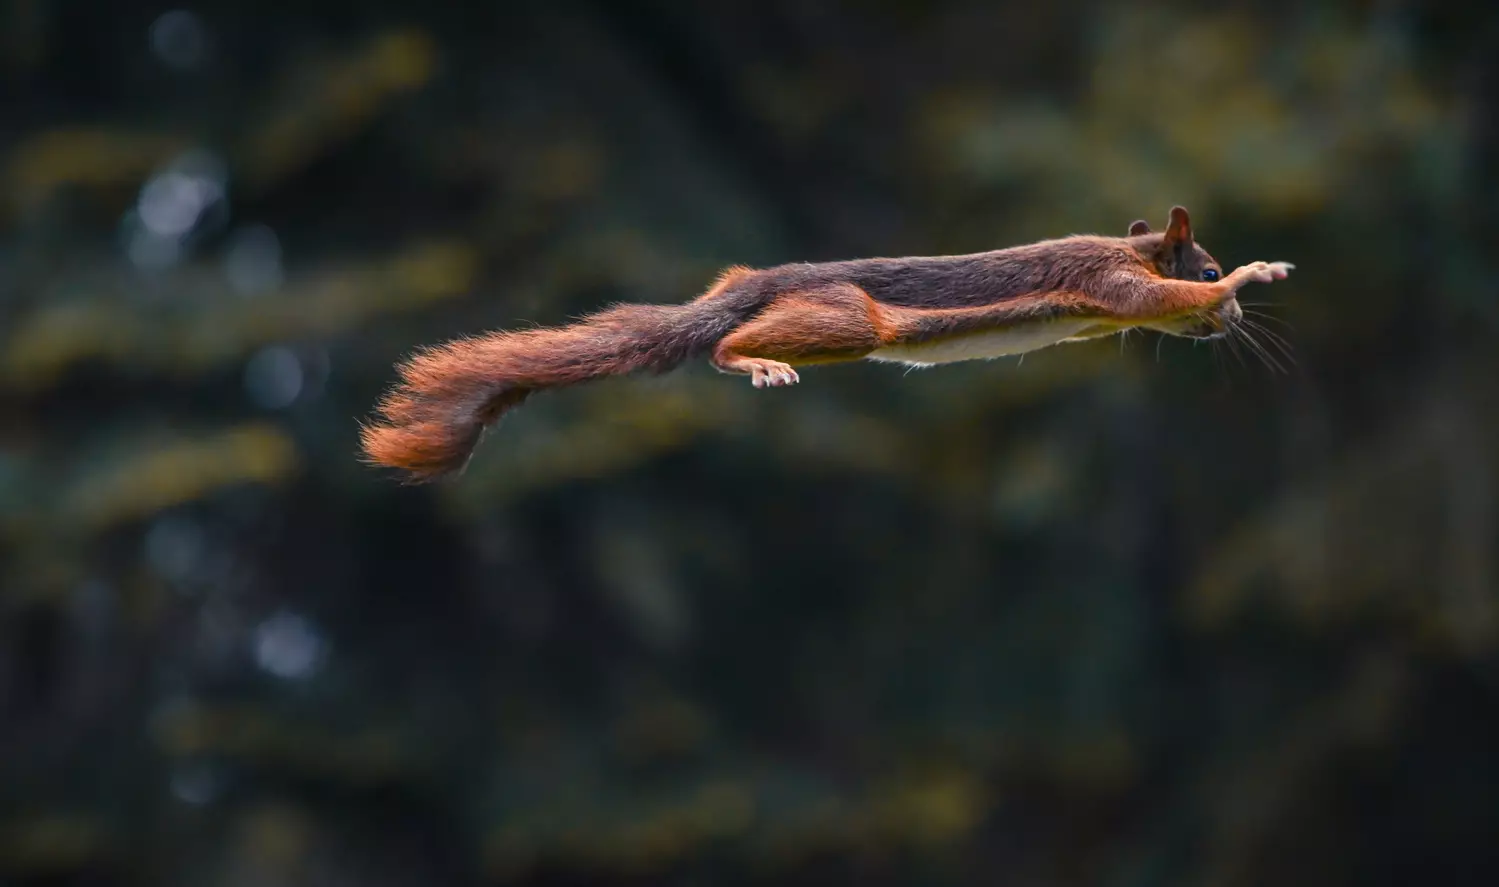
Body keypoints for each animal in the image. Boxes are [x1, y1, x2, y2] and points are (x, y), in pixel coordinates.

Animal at [359, 203, 1289, 482]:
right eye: (1205, 256)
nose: (1234, 329)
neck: (1130, 247)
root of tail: (749, 285)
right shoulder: (1110, 284)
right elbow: (1167, 294)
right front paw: (1252, 275)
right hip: (845, 318)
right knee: (725, 346)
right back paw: (753, 359)